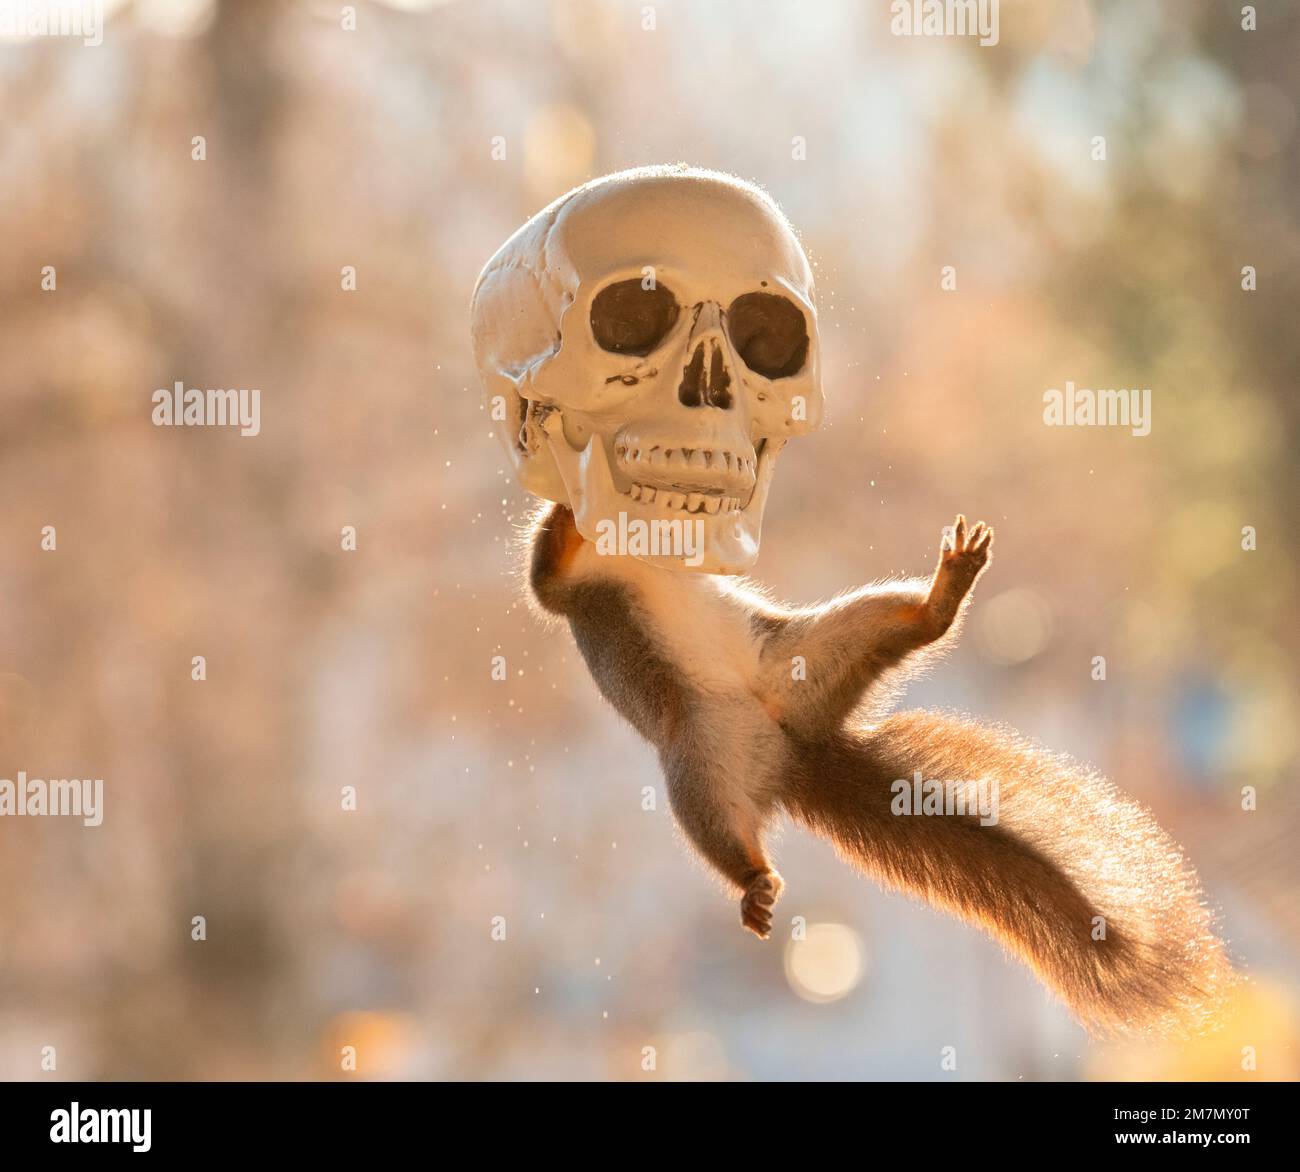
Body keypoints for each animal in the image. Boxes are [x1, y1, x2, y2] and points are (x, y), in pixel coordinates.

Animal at [525, 501, 1233, 1036]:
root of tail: (792, 749)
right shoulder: (571, 589)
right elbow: (546, 575)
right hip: (700, 764)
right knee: (724, 835)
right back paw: (753, 885)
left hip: (805, 653)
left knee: (908, 627)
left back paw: (943, 595)